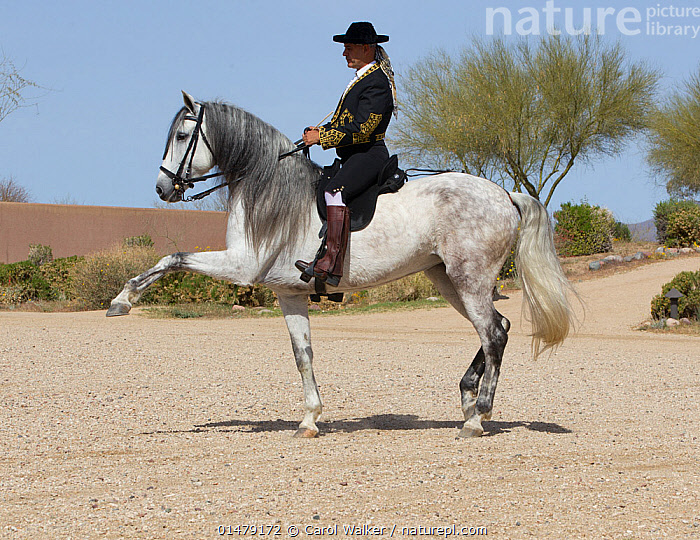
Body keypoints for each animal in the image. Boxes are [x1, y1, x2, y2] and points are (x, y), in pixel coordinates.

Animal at [107, 91, 575, 439]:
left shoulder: (241, 267)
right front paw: (309, 419)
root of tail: (505, 194)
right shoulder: (288, 293)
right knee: (498, 327)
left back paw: (478, 416)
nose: (163, 187)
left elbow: (172, 258)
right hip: (446, 279)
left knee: (493, 333)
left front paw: (123, 299)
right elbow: (303, 355)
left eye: (184, 134)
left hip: (469, 277)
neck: (268, 188)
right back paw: (466, 399)